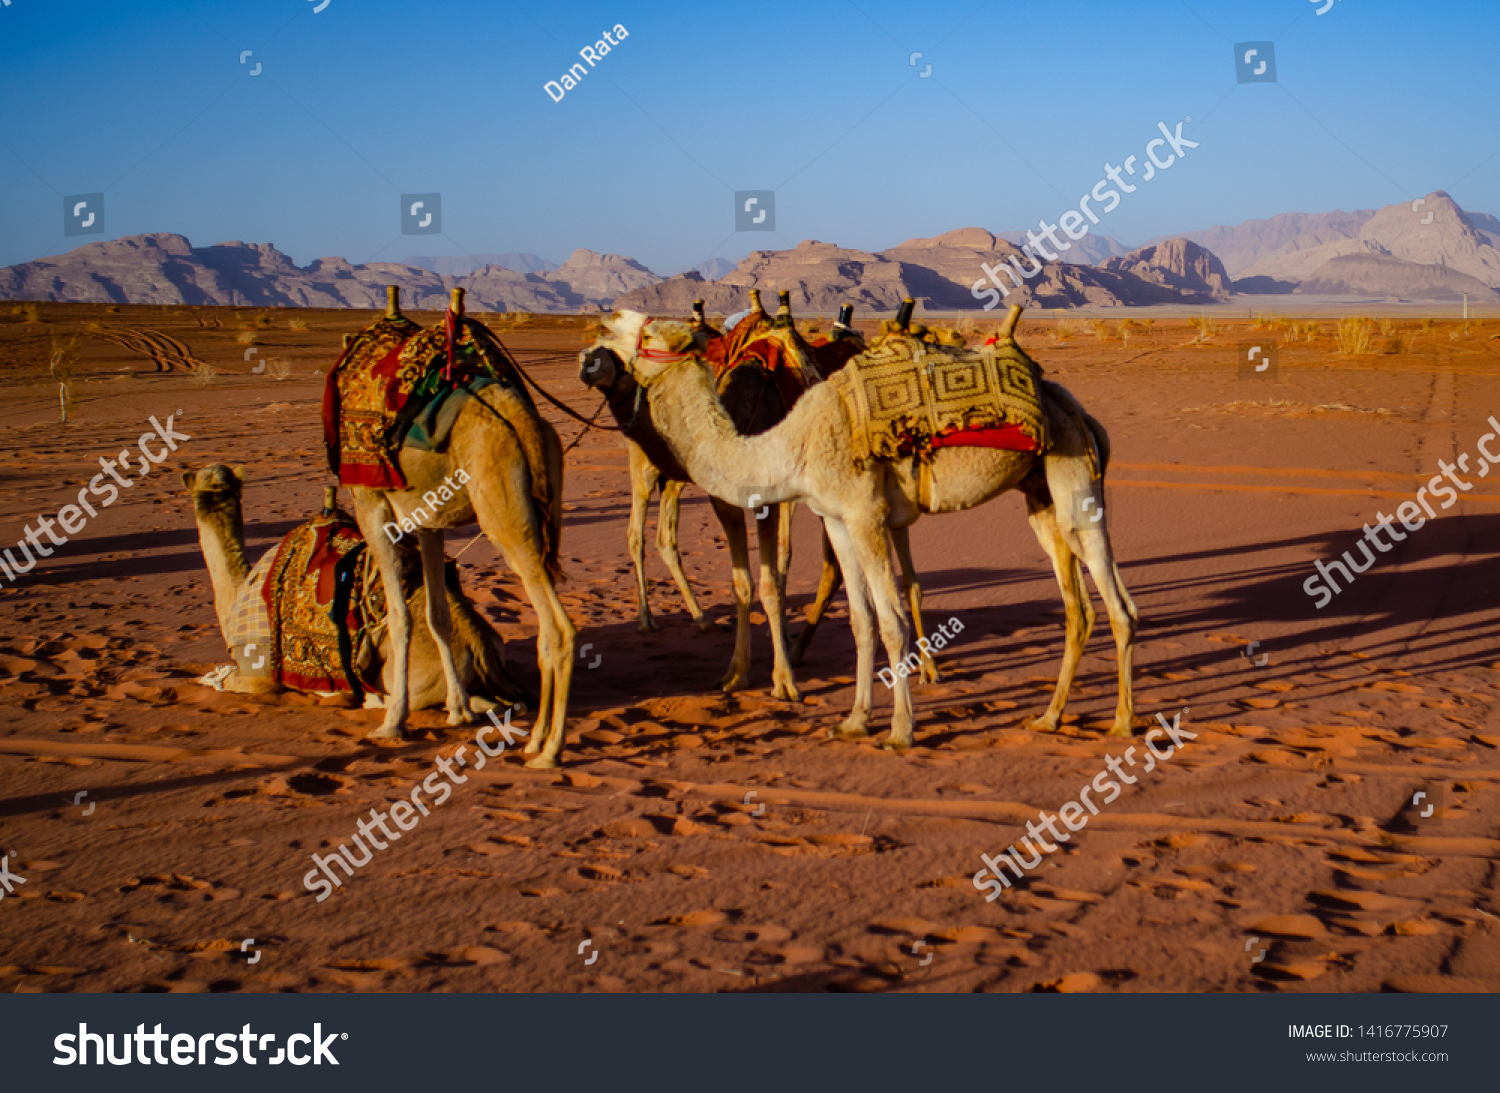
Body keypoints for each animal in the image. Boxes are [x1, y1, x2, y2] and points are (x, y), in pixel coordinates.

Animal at [342, 288, 575, 766]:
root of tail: (520, 414)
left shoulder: (370, 503)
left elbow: (399, 617)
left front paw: (393, 723)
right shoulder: (427, 519)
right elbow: (437, 614)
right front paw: (457, 710)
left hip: (505, 517)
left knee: (559, 631)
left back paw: (548, 751)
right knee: (545, 632)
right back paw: (536, 739)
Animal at [581, 305, 1138, 747]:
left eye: (652, 331)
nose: (604, 322)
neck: (793, 442)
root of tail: (1077, 410)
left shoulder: (866, 513)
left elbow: (890, 621)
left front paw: (900, 731)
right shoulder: (836, 518)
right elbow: (860, 620)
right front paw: (853, 721)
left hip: (1074, 480)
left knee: (1117, 606)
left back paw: (1121, 722)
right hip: (1039, 494)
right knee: (1079, 608)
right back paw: (1048, 718)